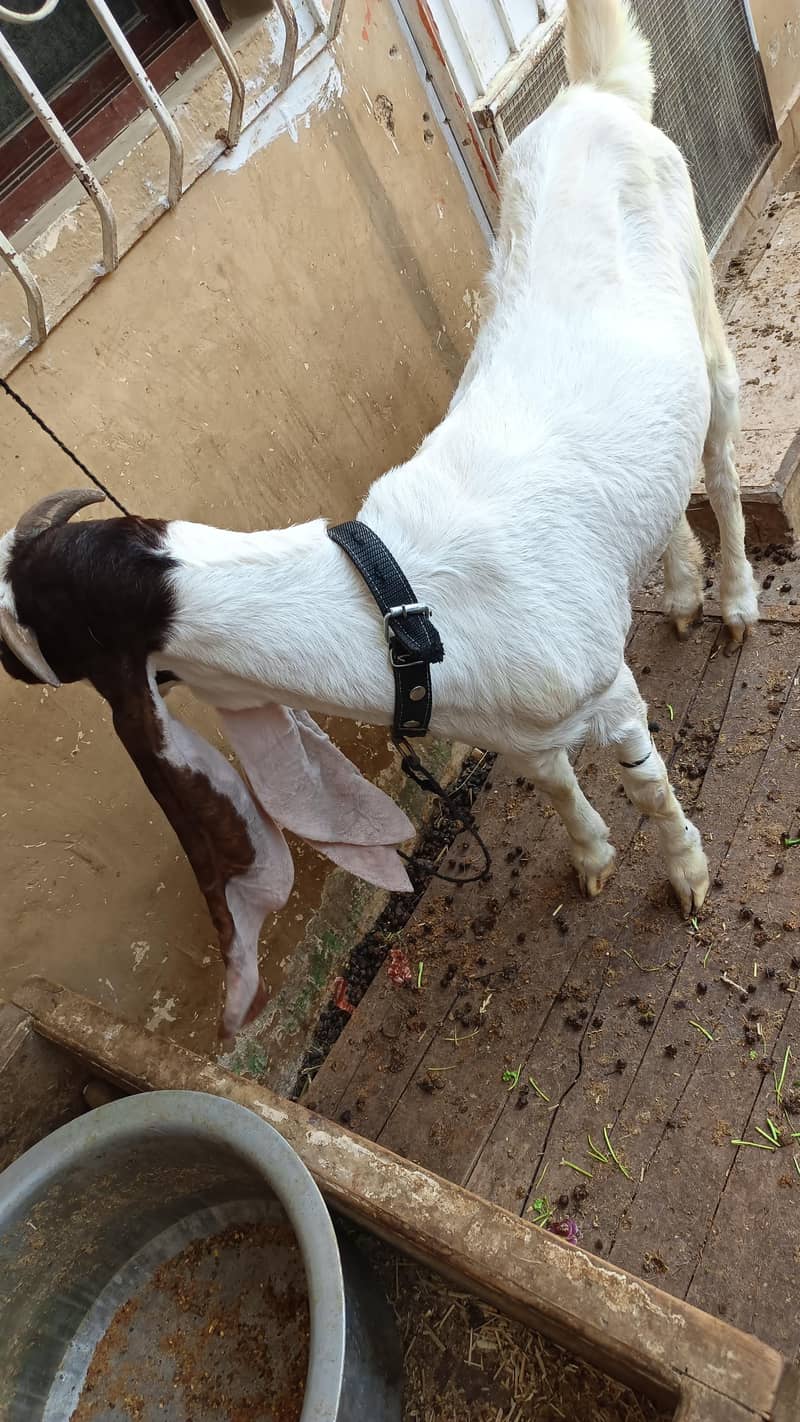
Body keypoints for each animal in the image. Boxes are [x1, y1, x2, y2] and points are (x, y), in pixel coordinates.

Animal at [0, 0, 758, 1038]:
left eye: (31, 619)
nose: (5, 667)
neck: (405, 604)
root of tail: (594, 98)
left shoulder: (604, 693)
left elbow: (646, 785)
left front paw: (685, 874)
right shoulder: (512, 730)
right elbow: (557, 786)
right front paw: (592, 859)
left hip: (701, 310)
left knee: (717, 465)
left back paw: (734, 605)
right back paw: (678, 593)